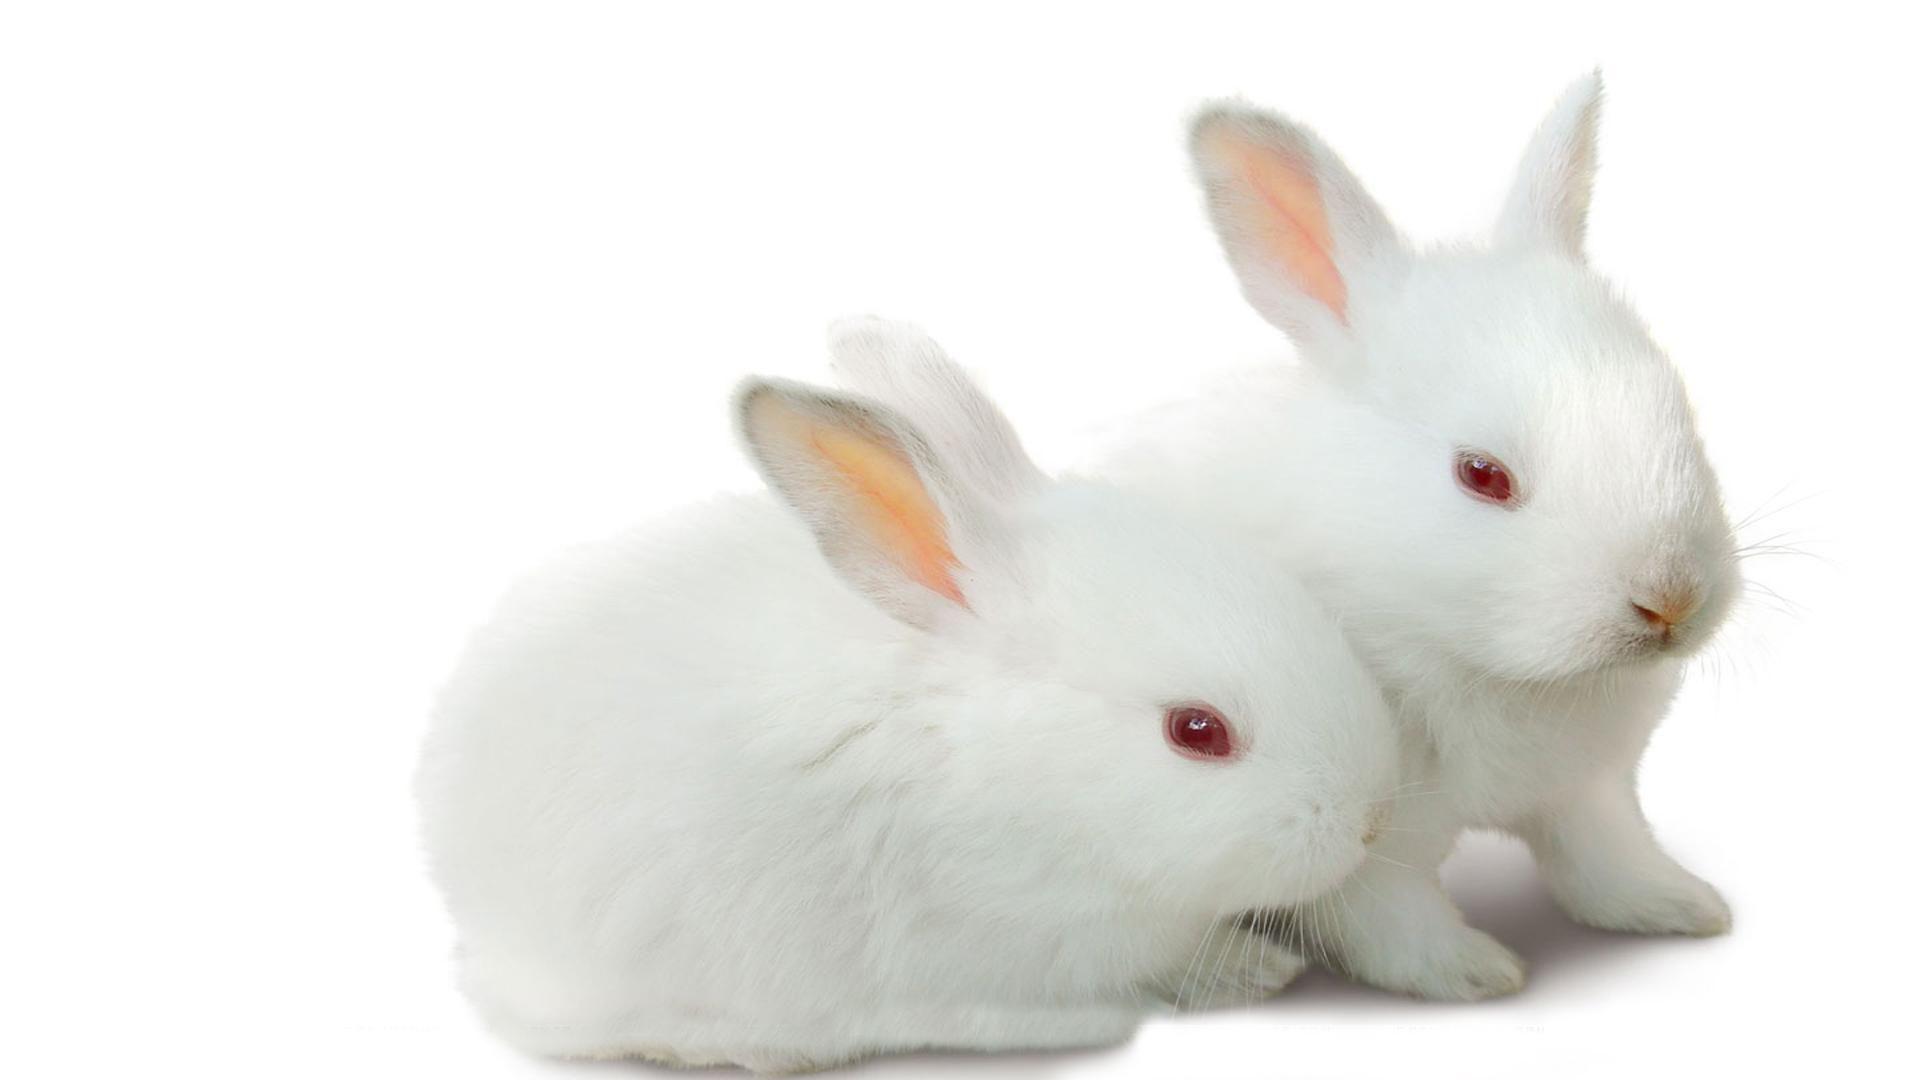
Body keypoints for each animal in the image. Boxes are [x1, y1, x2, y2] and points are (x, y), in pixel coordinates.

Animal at [1081, 73, 1744, 1000]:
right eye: (1482, 474)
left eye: (1677, 409)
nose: (1670, 599)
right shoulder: (1362, 846)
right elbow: (1391, 923)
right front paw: (1478, 974)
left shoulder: (1588, 791)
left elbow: (1605, 862)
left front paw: (1683, 908)